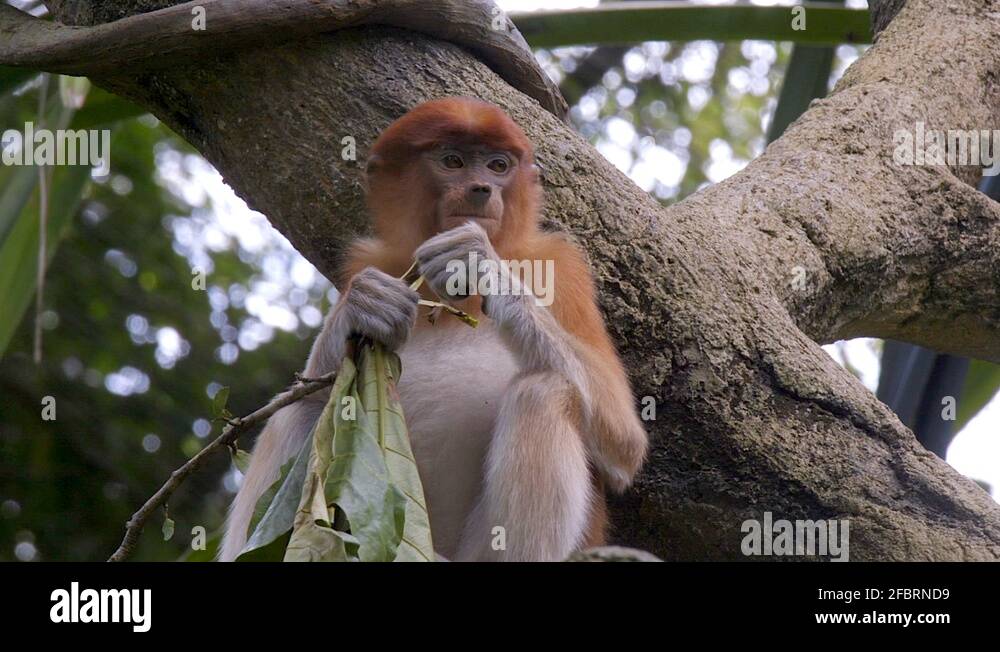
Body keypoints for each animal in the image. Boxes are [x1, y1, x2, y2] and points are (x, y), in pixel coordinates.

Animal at [219, 97, 648, 562]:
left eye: (498, 165)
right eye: (452, 161)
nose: (481, 189)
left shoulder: (561, 265)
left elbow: (624, 437)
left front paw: (475, 259)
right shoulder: (369, 259)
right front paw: (365, 304)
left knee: (545, 392)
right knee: (303, 411)